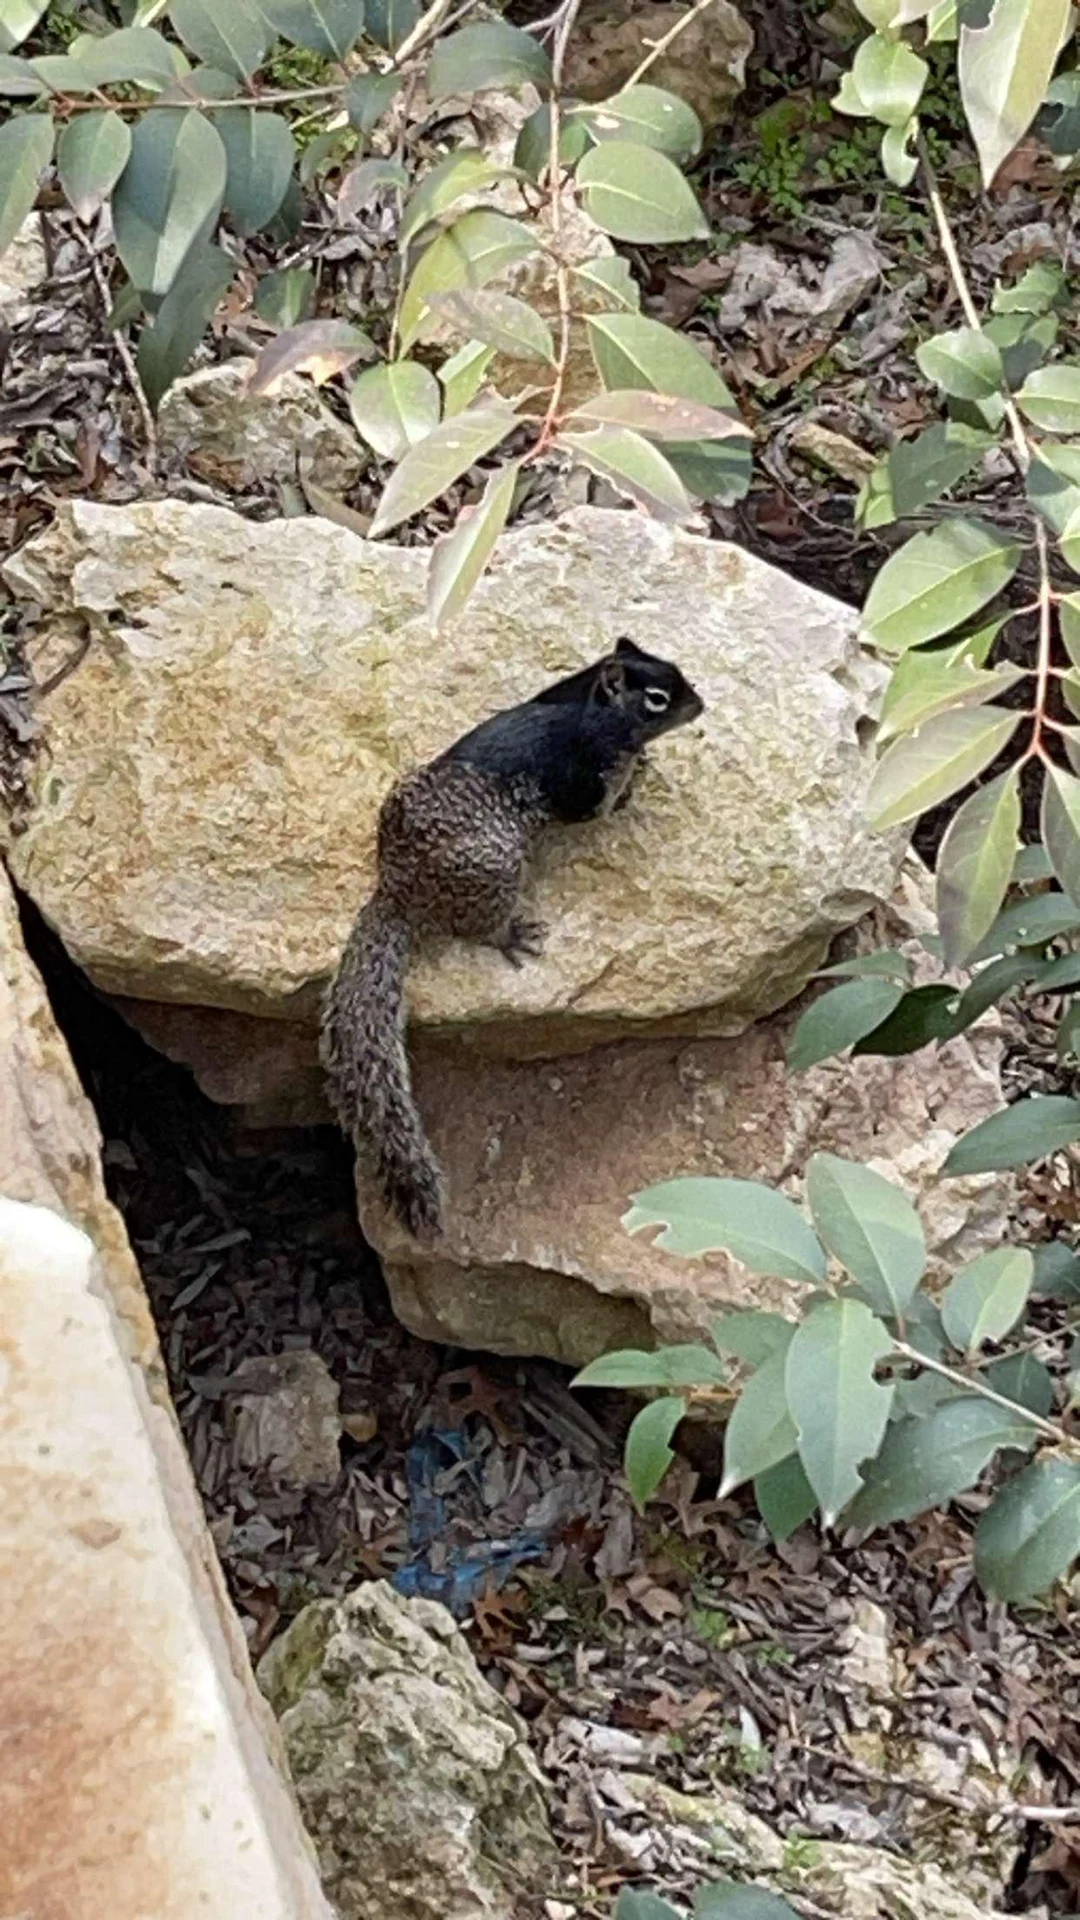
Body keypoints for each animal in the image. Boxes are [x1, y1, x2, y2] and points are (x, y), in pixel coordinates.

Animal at [320, 637, 705, 1242]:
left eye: (676, 670)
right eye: (659, 700)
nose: (703, 704)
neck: (587, 707)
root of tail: (399, 892)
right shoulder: (583, 785)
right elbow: (601, 806)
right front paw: (635, 784)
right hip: (499, 868)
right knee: (478, 925)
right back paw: (511, 934)